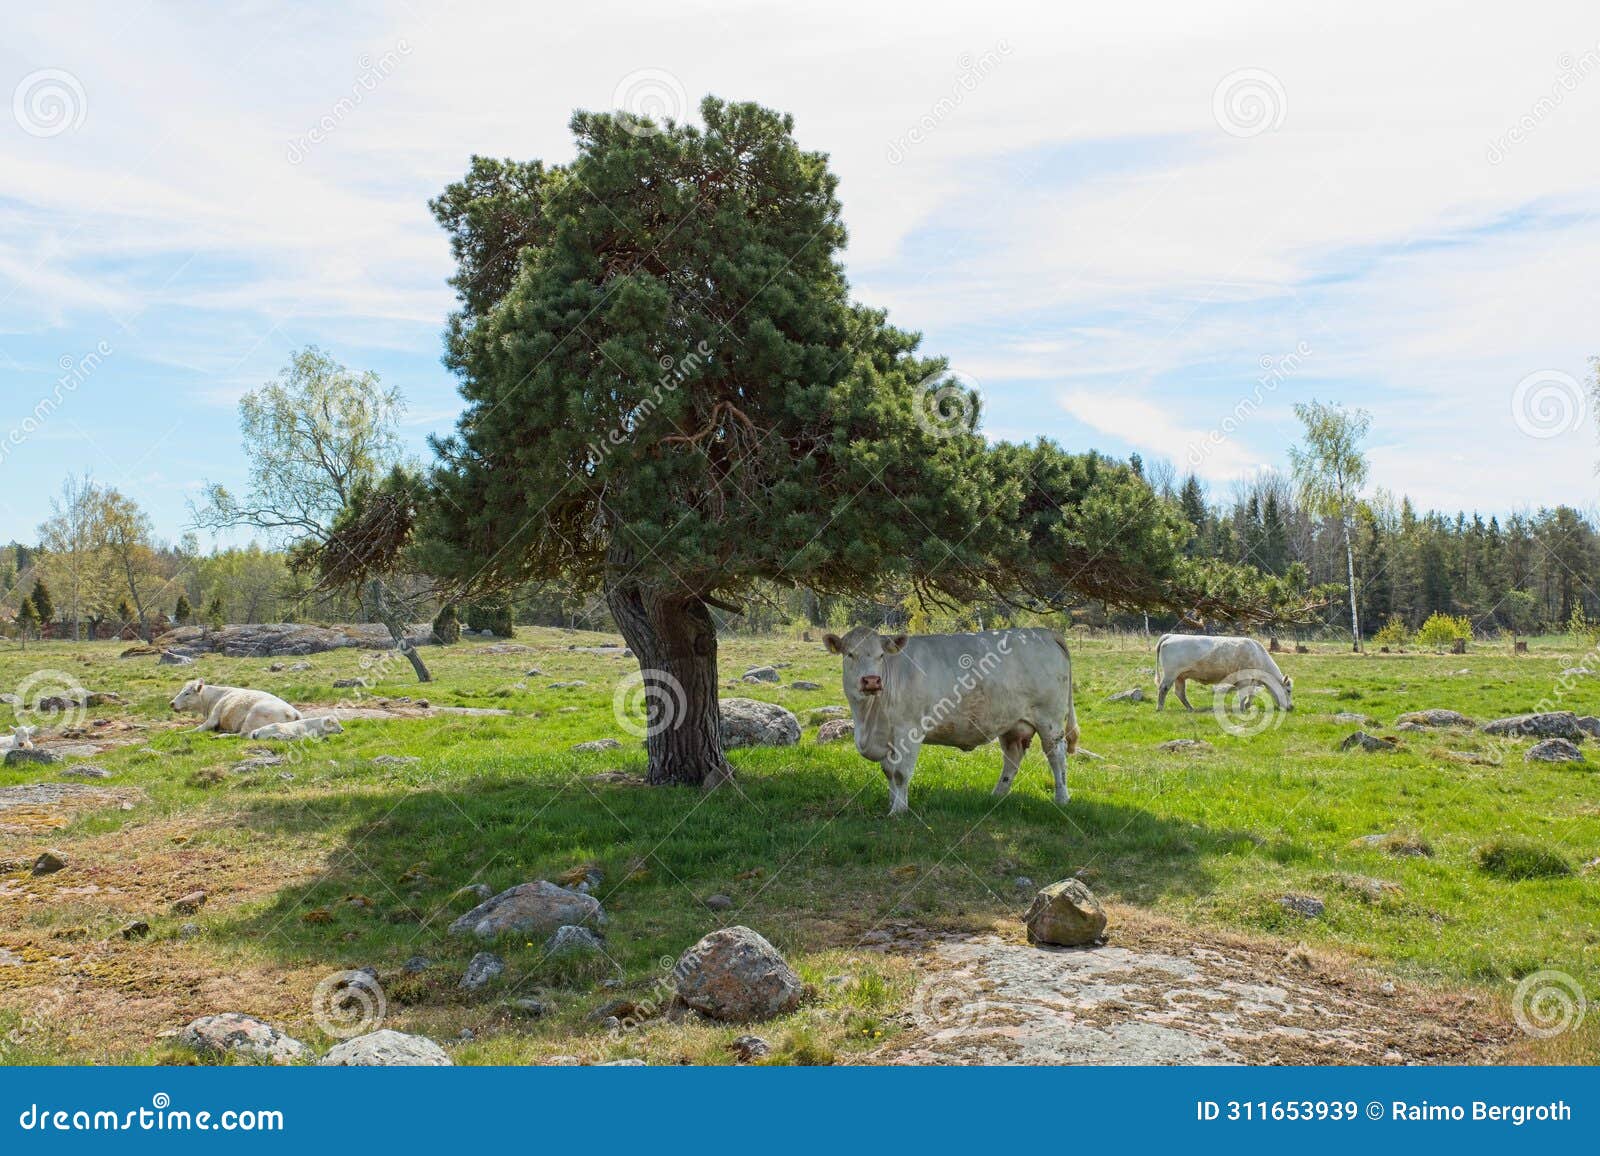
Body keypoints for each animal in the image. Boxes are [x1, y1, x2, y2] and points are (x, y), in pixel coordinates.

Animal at [170, 679, 301, 735]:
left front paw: (180, 733)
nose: (171, 703)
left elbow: (198, 729)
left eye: (187, 693)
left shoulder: (213, 718)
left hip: (251, 718)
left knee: (242, 735)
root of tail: (293, 711)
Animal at [823, 626, 1079, 816]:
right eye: (850, 654)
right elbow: (888, 771)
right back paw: (996, 796)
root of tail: (1044, 632)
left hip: (1050, 719)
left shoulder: (908, 730)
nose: (871, 681)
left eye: (881, 655)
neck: (868, 719)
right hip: (1013, 723)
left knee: (1057, 756)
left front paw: (899, 810)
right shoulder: (887, 737)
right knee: (1012, 758)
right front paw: (891, 802)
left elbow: (900, 773)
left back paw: (1062, 798)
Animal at [1154, 633, 1293, 712]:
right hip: (1170, 674)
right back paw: (1159, 708)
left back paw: (1191, 708)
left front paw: (1247, 705)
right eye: (1289, 690)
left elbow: (1251, 694)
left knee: (1180, 692)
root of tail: (1171, 636)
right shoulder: (1245, 679)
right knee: (1163, 689)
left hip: (1180, 677)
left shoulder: (1252, 680)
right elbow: (1244, 694)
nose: (1291, 707)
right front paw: (1243, 709)